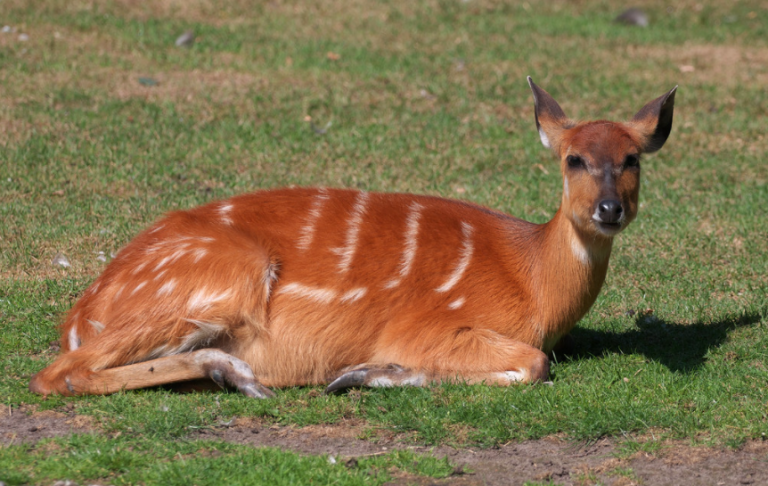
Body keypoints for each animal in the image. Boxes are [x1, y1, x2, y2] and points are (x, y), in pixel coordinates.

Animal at [29, 78, 676, 398]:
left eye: (632, 158)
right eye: (573, 159)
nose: (609, 209)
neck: (533, 278)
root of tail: (80, 312)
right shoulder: (429, 325)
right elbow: (536, 364)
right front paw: (358, 373)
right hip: (222, 277)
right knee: (57, 374)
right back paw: (240, 376)